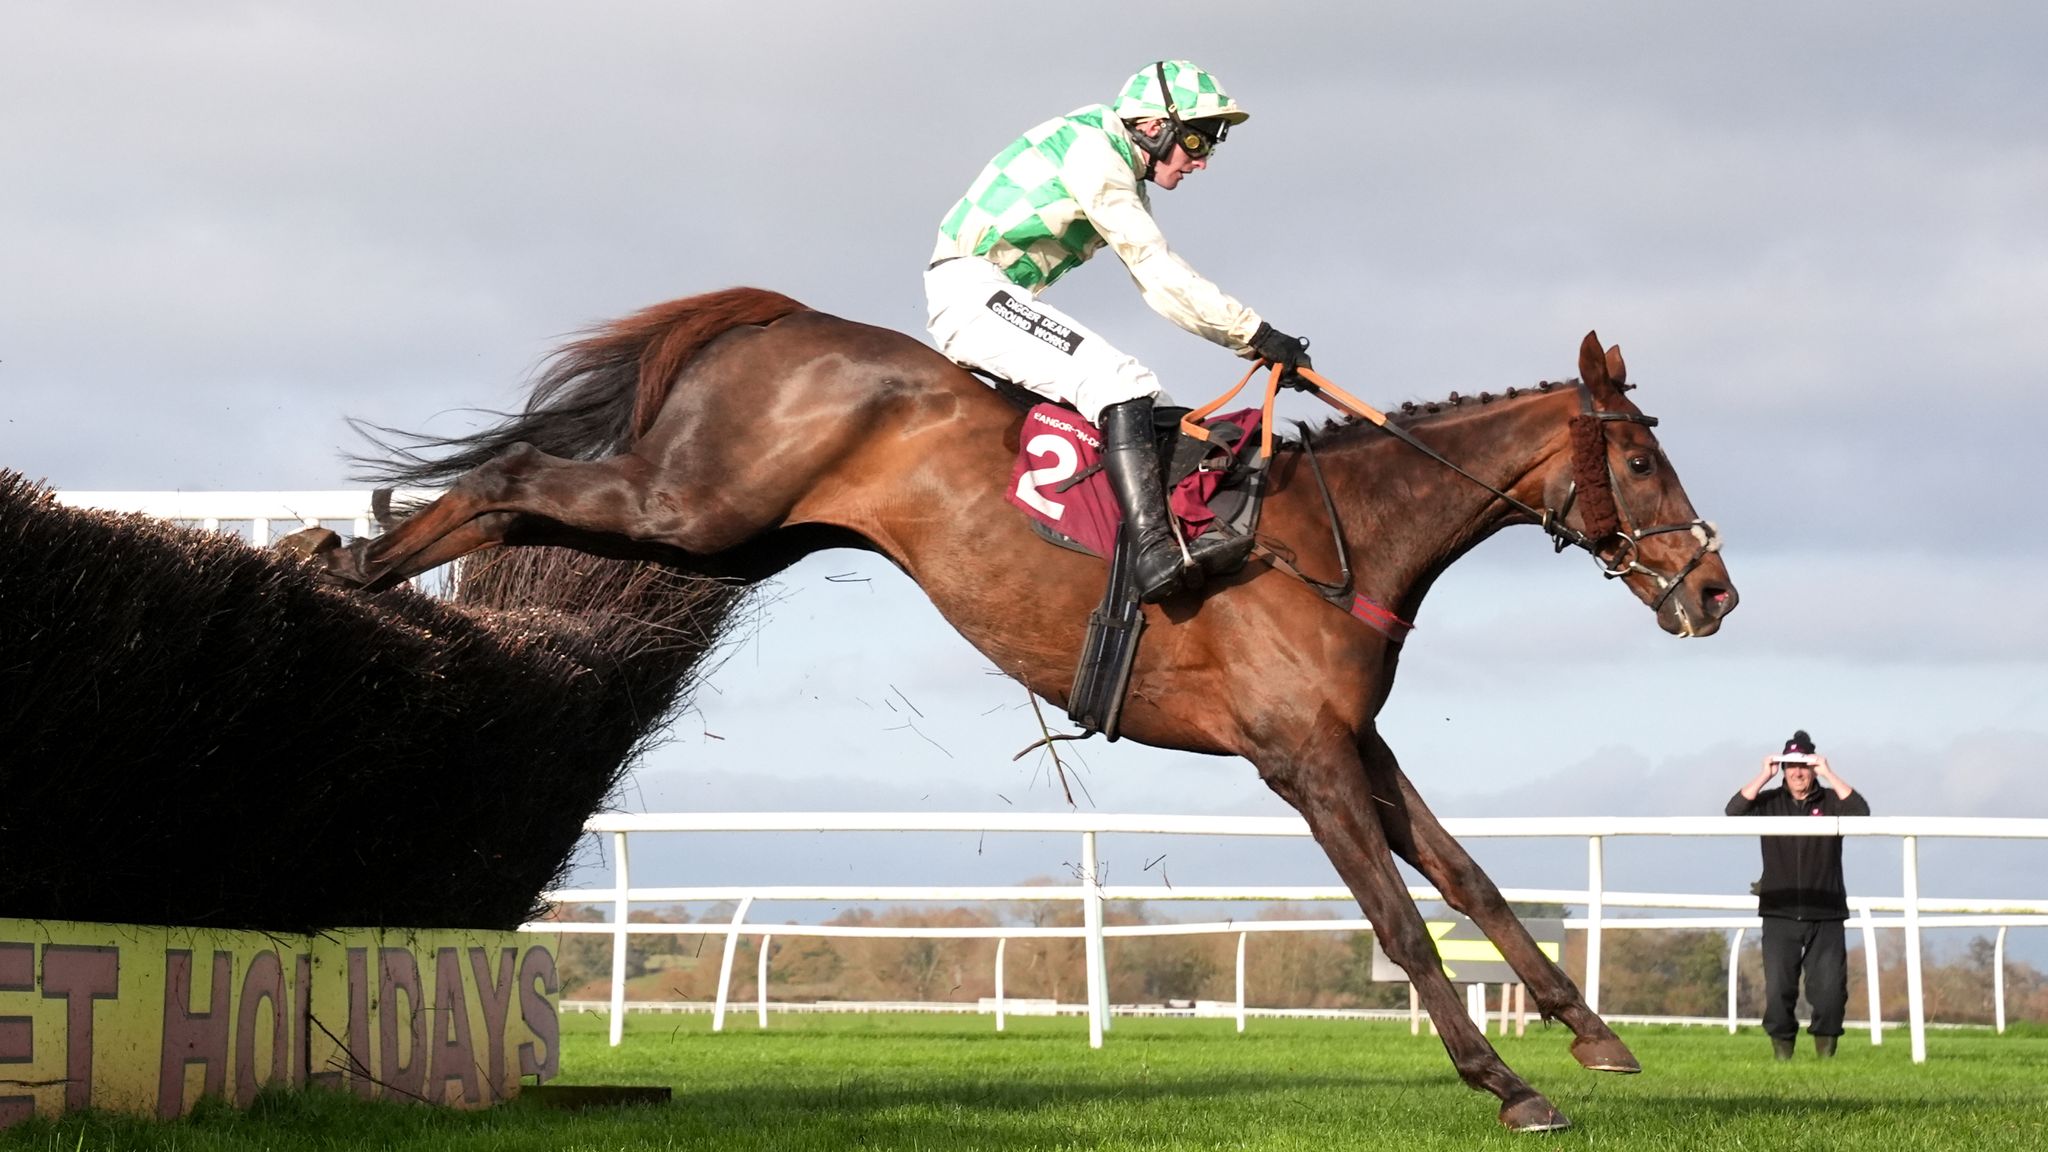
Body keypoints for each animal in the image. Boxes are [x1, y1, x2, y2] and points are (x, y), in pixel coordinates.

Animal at [296, 287, 1737, 1131]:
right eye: (1641, 458)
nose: (1715, 590)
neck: (1337, 538)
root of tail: (775, 316)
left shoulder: (1353, 743)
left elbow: (1469, 878)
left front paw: (1594, 1037)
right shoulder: (1299, 760)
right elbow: (1399, 920)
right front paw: (1507, 1085)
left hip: (722, 535)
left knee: (522, 504)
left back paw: (351, 566)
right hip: (694, 507)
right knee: (516, 479)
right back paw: (340, 564)